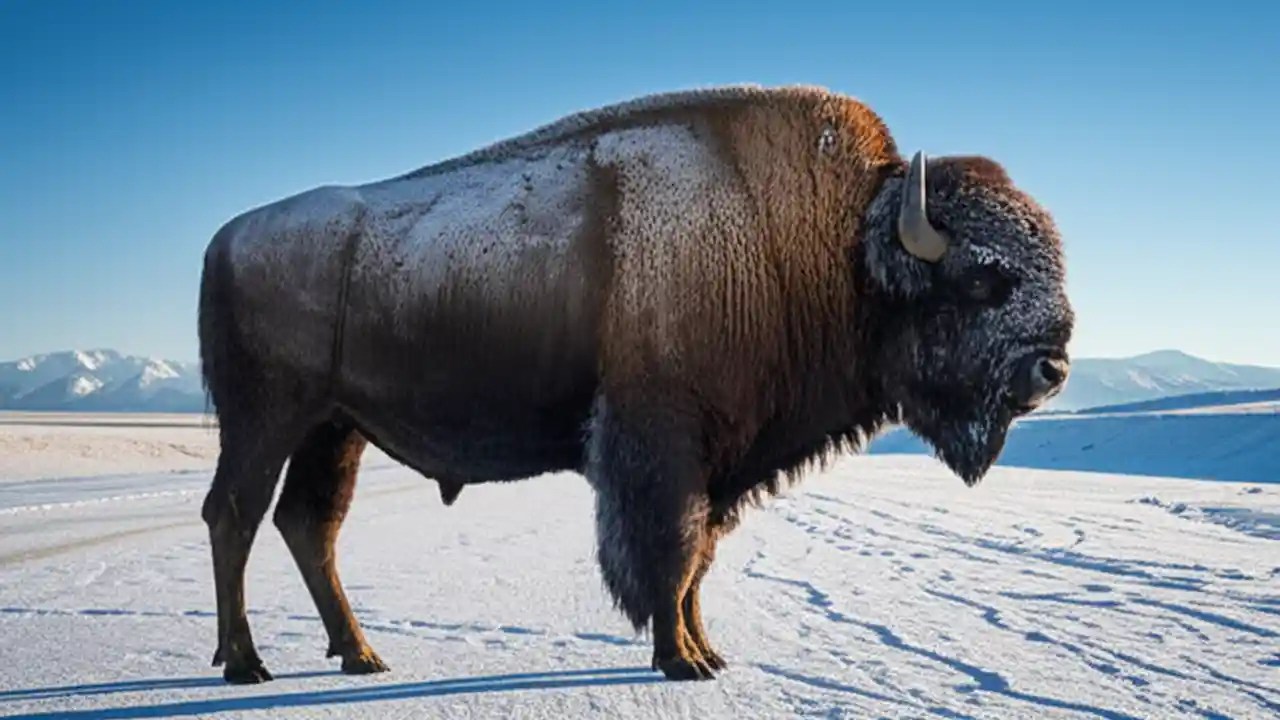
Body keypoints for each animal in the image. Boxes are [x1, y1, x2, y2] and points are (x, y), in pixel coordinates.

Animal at [196, 84, 1073, 683]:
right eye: (984, 278)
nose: (1053, 367)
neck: (834, 246)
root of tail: (225, 239)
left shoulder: (720, 463)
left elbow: (699, 560)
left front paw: (706, 650)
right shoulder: (661, 445)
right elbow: (669, 553)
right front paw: (681, 661)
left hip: (334, 429)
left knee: (309, 526)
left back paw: (360, 654)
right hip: (266, 419)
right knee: (235, 513)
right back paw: (246, 663)